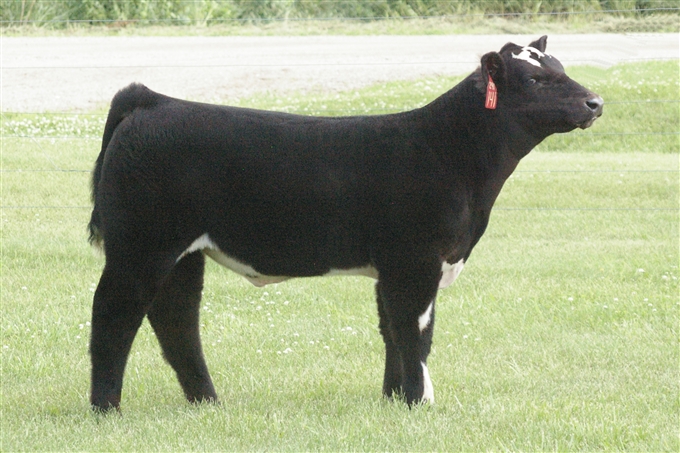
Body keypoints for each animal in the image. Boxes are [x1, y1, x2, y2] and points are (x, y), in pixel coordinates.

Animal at [87, 36, 603, 411]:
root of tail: (155, 101)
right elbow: (413, 331)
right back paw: (106, 408)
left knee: (176, 320)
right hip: (143, 245)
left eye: (560, 67)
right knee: (114, 314)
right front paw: (420, 402)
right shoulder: (415, 260)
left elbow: (395, 331)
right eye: (535, 78)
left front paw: (395, 401)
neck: (449, 151)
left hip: (183, 253)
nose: (595, 102)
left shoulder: (395, 267)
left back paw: (208, 403)